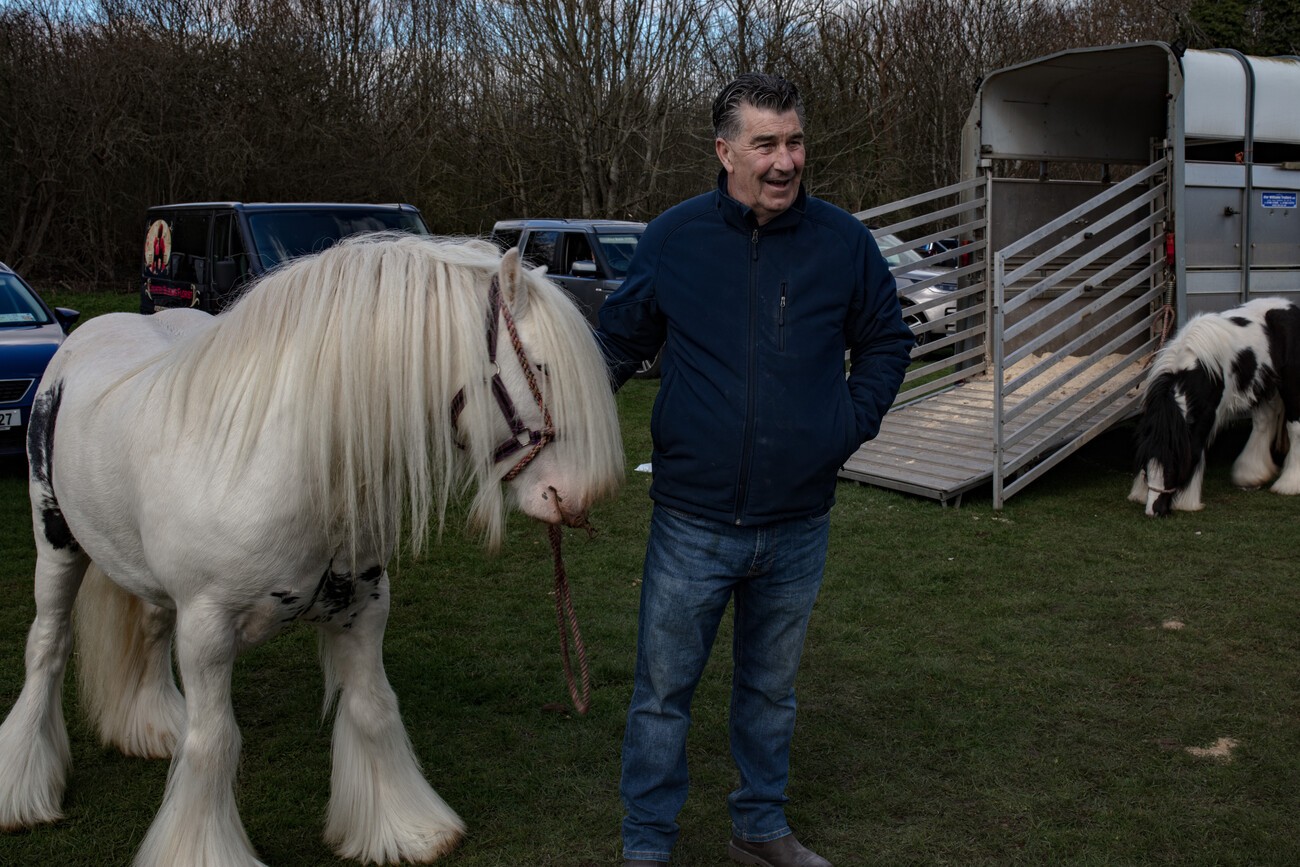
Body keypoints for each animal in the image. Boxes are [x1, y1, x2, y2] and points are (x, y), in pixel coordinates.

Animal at [0, 233, 624, 865]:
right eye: (542, 368)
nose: (574, 499)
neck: (278, 461)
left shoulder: (362, 607)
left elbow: (373, 707)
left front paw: (404, 830)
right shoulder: (206, 630)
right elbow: (214, 741)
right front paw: (200, 849)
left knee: (149, 628)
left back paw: (152, 728)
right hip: (56, 544)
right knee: (48, 645)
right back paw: (23, 790)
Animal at [1129, 296, 1300, 516]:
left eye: (1171, 468)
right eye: (1146, 469)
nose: (1154, 510)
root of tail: (1291, 308)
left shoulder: (1206, 413)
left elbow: (1196, 448)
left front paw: (1186, 501)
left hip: (1291, 385)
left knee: (1294, 428)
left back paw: (1289, 484)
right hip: (1261, 386)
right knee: (1264, 421)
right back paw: (1250, 475)